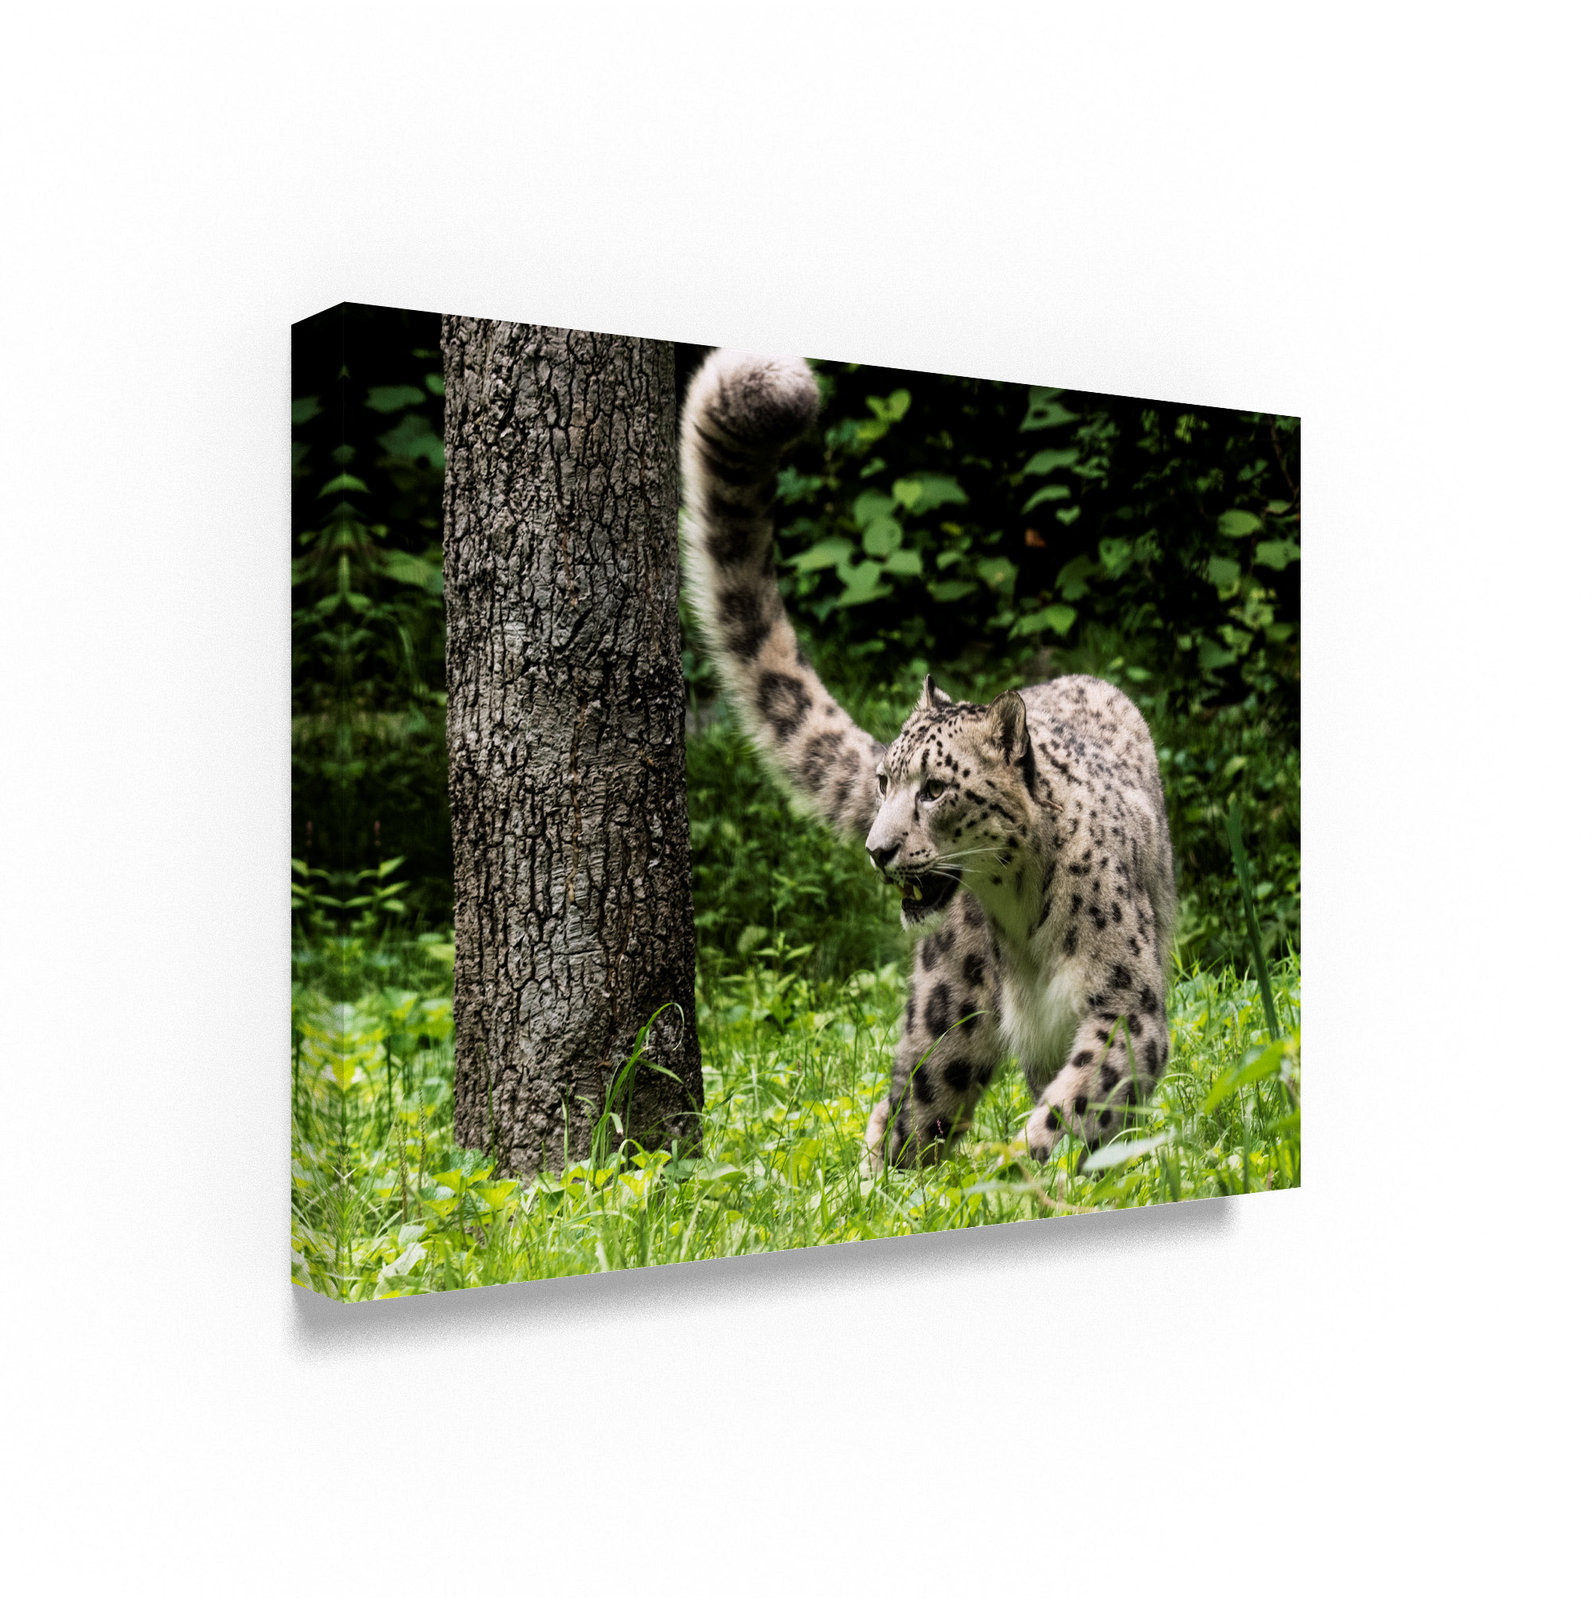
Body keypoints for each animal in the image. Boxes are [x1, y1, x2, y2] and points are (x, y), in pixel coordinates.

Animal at [680, 348, 1177, 1170]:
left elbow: (1074, 1105)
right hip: (948, 1002)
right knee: (913, 1104)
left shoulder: (1125, 1006)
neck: (1023, 916)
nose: (879, 850)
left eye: (937, 789)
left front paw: (1019, 1168)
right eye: (885, 780)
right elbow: (956, 1111)